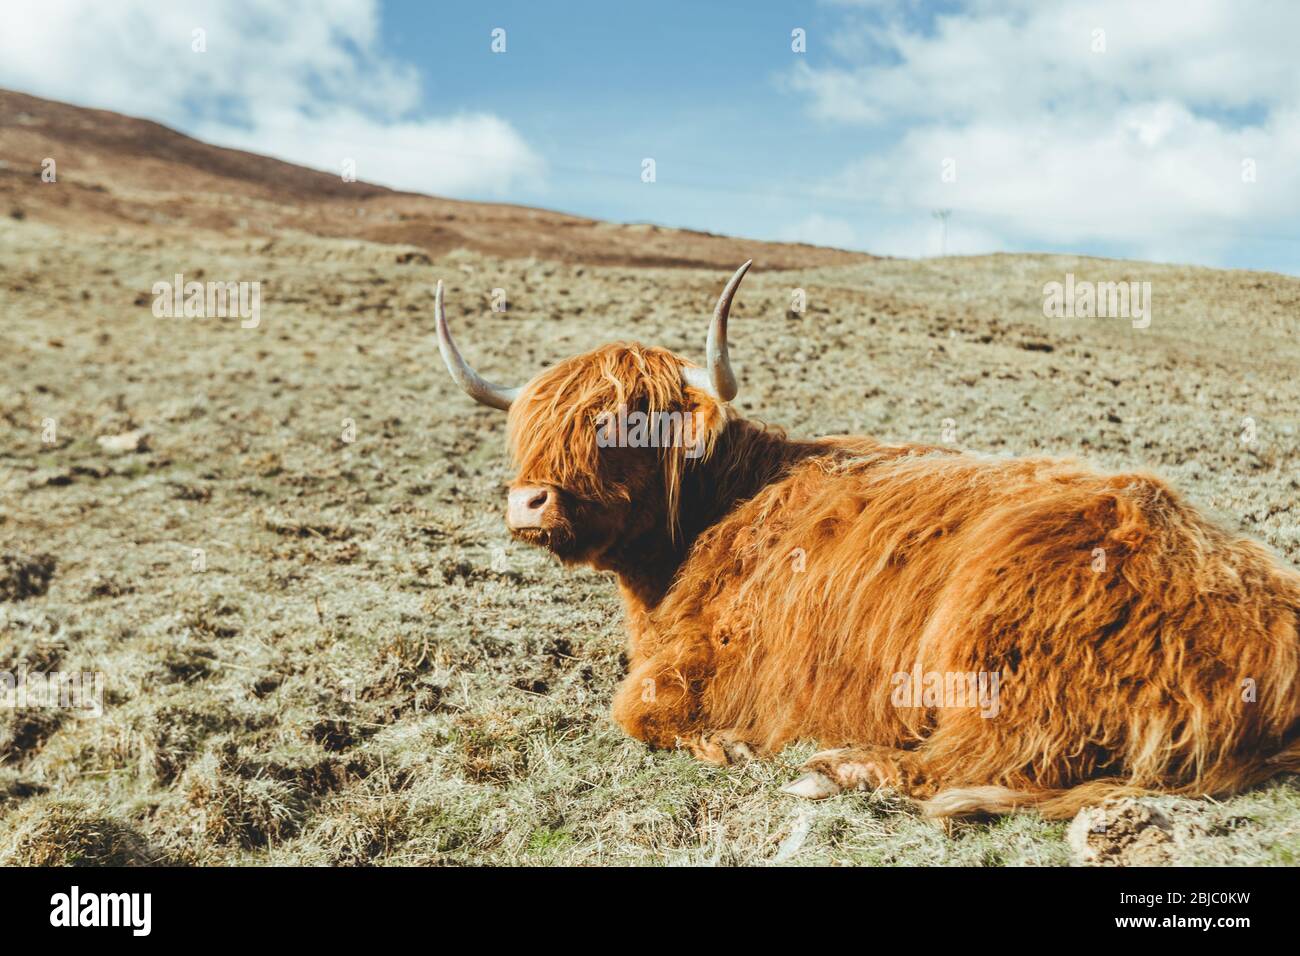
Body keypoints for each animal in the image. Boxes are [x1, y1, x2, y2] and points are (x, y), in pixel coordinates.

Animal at [434, 261, 1300, 818]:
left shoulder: (717, 660)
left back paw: (834, 770)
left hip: (994, 647)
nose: (529, 502)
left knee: (989, 756)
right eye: (539, 426)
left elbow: (635, 708)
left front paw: (731, 747)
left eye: (630, 424)